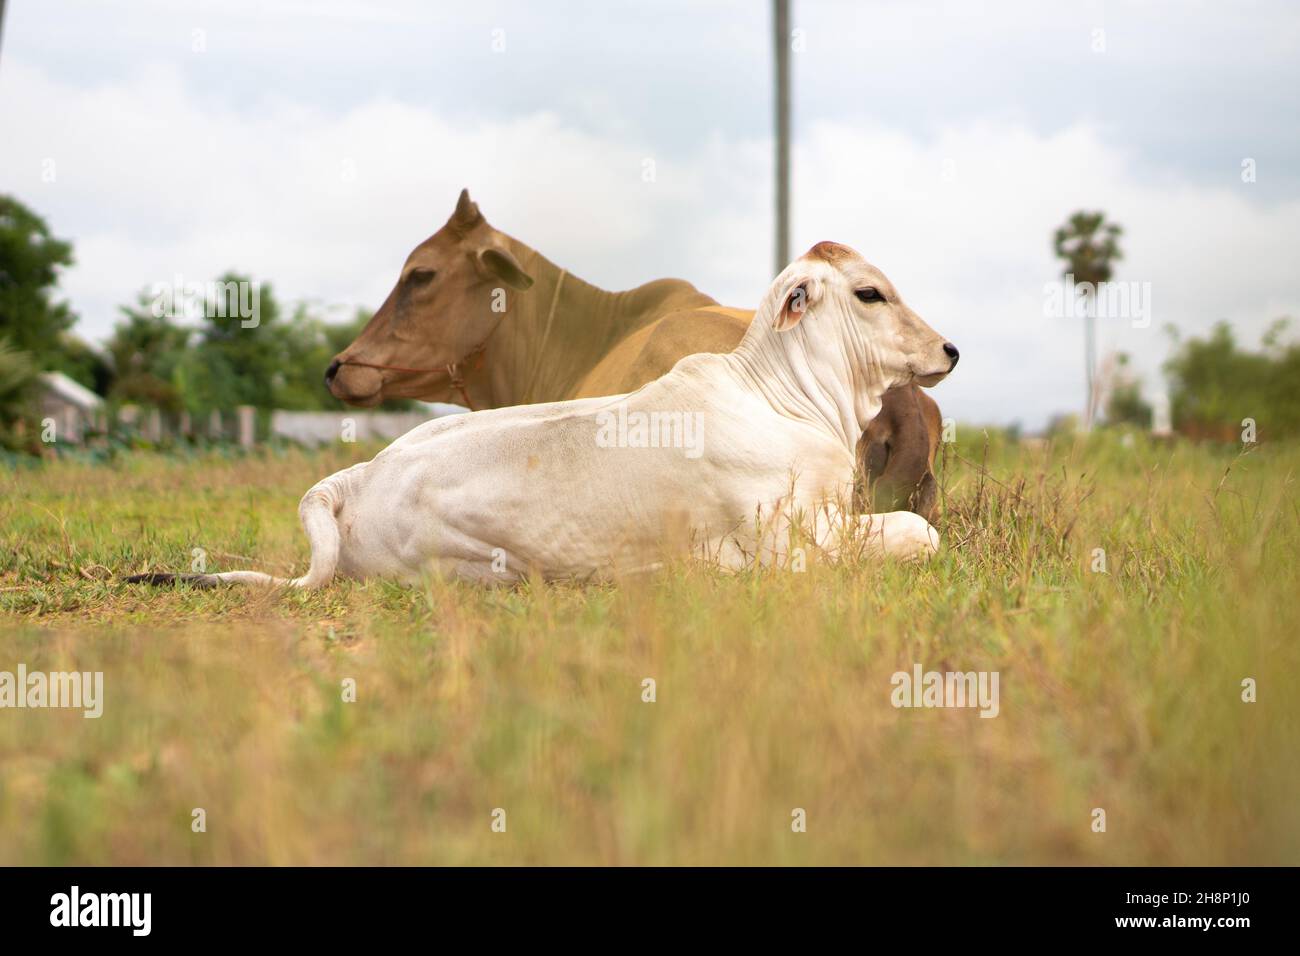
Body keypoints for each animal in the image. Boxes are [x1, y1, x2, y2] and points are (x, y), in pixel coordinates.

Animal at [130, 242, 958, 588]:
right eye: (870, 293)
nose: (950, 348)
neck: (793, 402)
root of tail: (356, 477)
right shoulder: (793, 545)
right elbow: (921, 533)